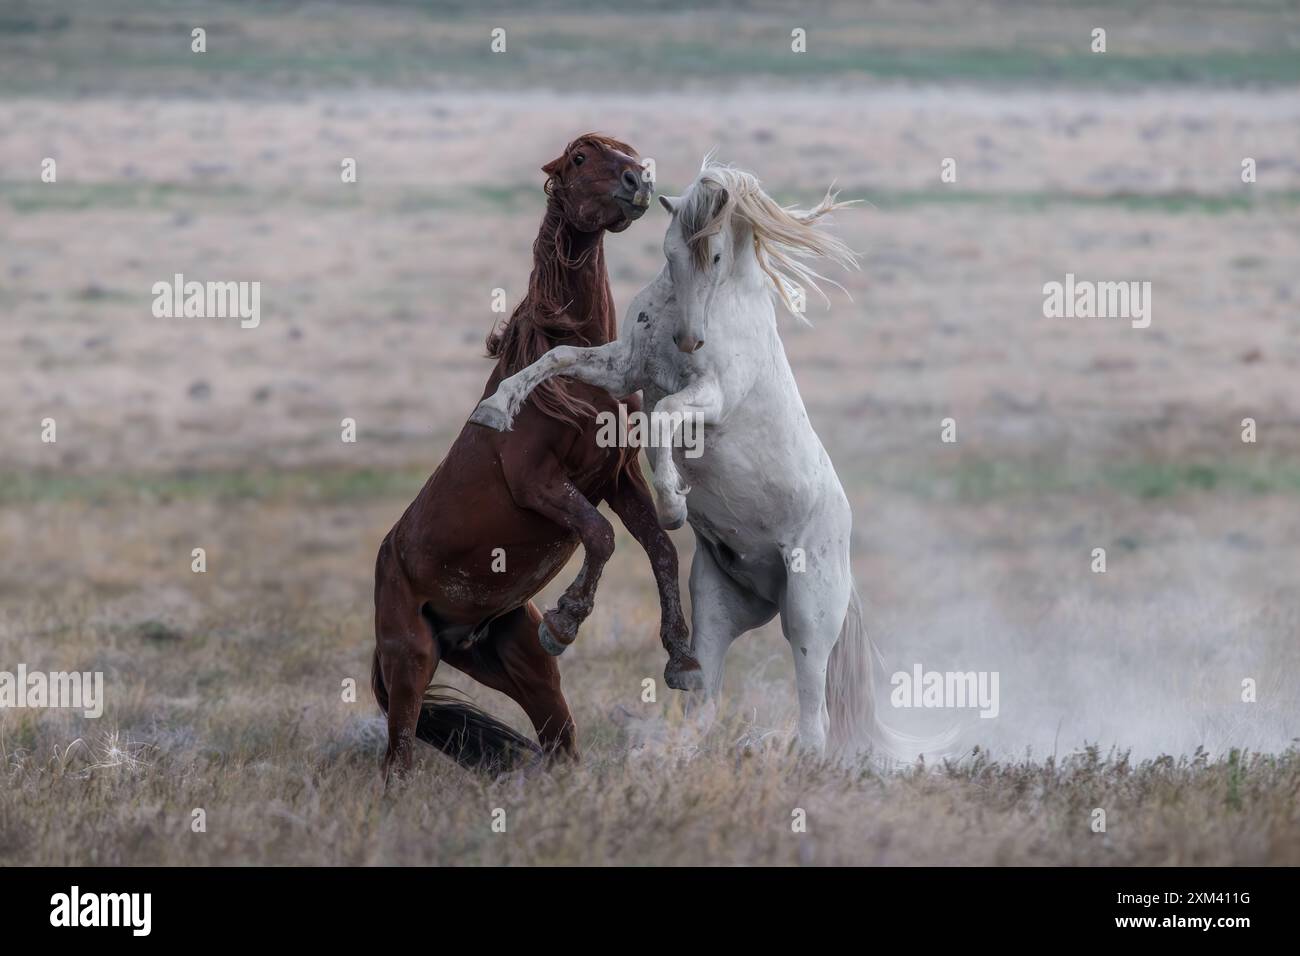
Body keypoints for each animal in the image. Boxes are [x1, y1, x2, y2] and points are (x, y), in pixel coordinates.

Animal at [373, 134, 702, 779]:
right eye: (580, 157)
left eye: (628, 150)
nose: (638, 181)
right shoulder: (536, 482)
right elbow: (601, 536)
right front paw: (566, 619)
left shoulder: (618, 479)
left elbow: (660, 548)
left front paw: (682, 658)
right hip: (410, 660)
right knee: (398, 754)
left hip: (523, 664)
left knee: (558, 740)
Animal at [471, 160, 953, 761]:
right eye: (671, 251)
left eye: (718, 255)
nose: (690, 339)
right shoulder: (624, 368)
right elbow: (557, 357)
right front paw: (496, 406)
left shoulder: (710, 396)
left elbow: (661, 418)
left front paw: (674, 504)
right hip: (716, 610)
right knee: (705, 707)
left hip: (808, 617)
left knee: (814, 719)